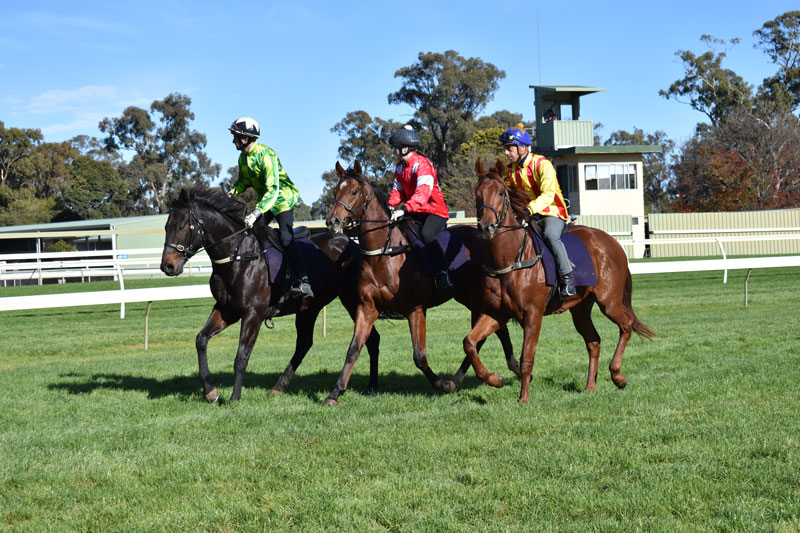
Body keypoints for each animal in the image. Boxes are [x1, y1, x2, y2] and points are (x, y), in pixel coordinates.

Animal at [160, 187, 380, 403]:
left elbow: (241, 357)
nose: (167, 266)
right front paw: (210, 392)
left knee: (370, 339)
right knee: (305, 343)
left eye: (181, 227)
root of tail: (351, 242)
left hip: (353, 300)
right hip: (309, 308)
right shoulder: (226, 309)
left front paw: (234, 398)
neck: (237, 257)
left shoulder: (253, 315)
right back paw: (278, 386)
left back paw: (371, 386)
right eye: (166, 227)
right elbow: (201, 340)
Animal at [323, 161, 521, 406]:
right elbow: (353, 348)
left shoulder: (415, 309)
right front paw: (335, 392)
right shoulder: (367, 307)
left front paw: (442, 384)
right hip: (469, 297)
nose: (332, 221)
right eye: (335, 191)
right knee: (495, 330)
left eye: (353, 191)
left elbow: (419, 356)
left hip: (476, 297)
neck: (385, 254)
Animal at [464, 159, 655, 403]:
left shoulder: (533, 314)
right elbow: (470, 343)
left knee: (626, 326)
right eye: (477, 193)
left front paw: (523, 399)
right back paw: (590, 387)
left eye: (500, 192)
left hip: (609, 302)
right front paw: (494, 379)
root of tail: (612, 243)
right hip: (581, 308)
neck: (512, 258)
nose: (486, 226)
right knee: (593, 341)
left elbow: (526, 358)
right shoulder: (496, 313)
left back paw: (618, 376)